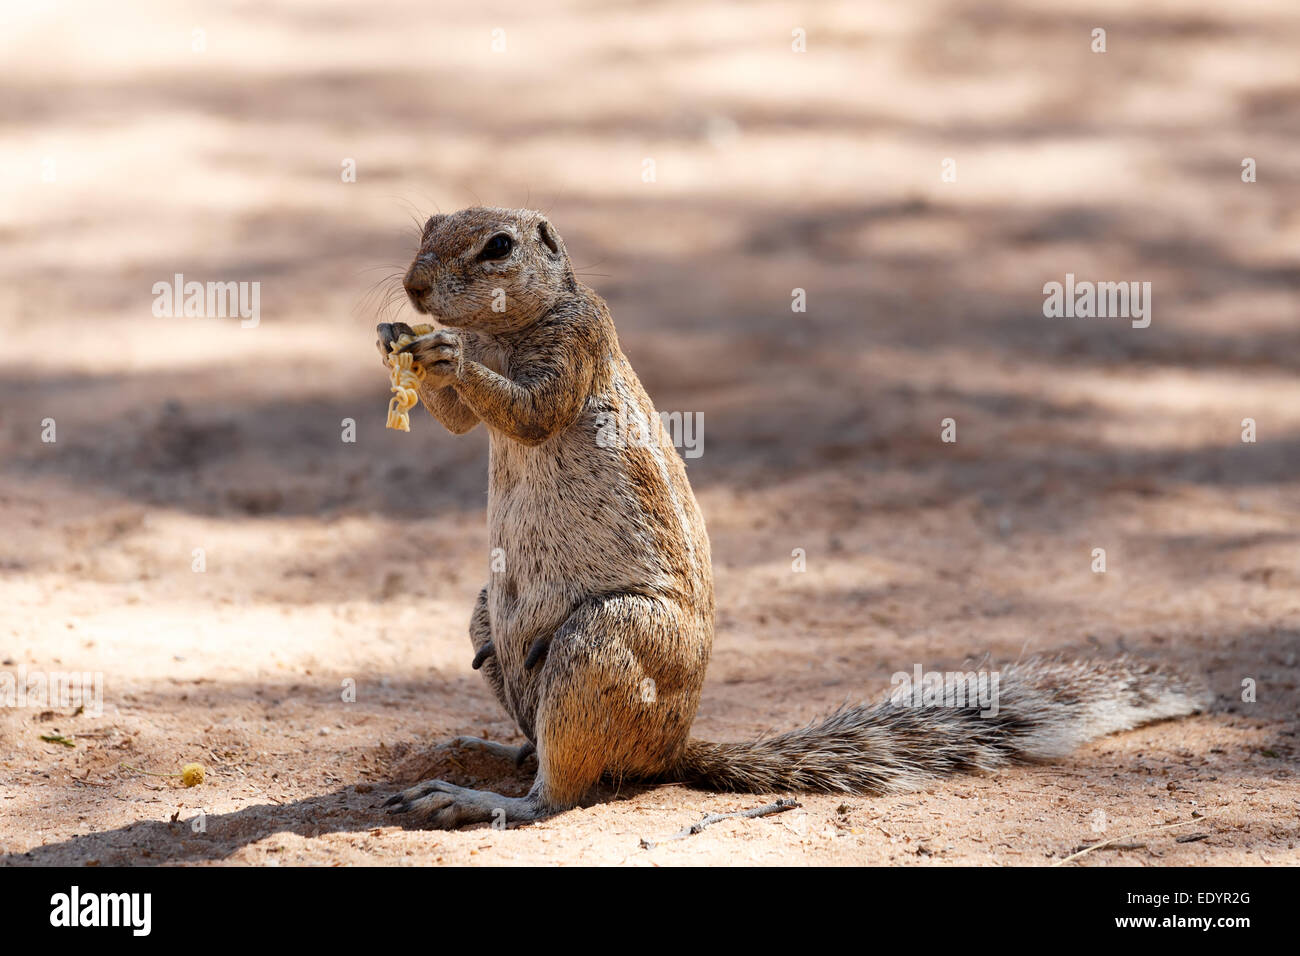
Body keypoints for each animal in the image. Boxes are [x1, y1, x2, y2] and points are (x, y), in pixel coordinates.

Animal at [374, 206, 1209, 828]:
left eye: (499, 246)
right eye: (429, 224)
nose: (413, 287)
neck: (505, 328)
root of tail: (671, 752)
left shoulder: (577, 343)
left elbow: (532, 411)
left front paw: (442, 353)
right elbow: (458, 422)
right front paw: (396, 343)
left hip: (606, 636)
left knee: (564, 791)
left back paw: (474, 795)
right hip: (490, 611)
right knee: (532, 726)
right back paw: (484, 747)